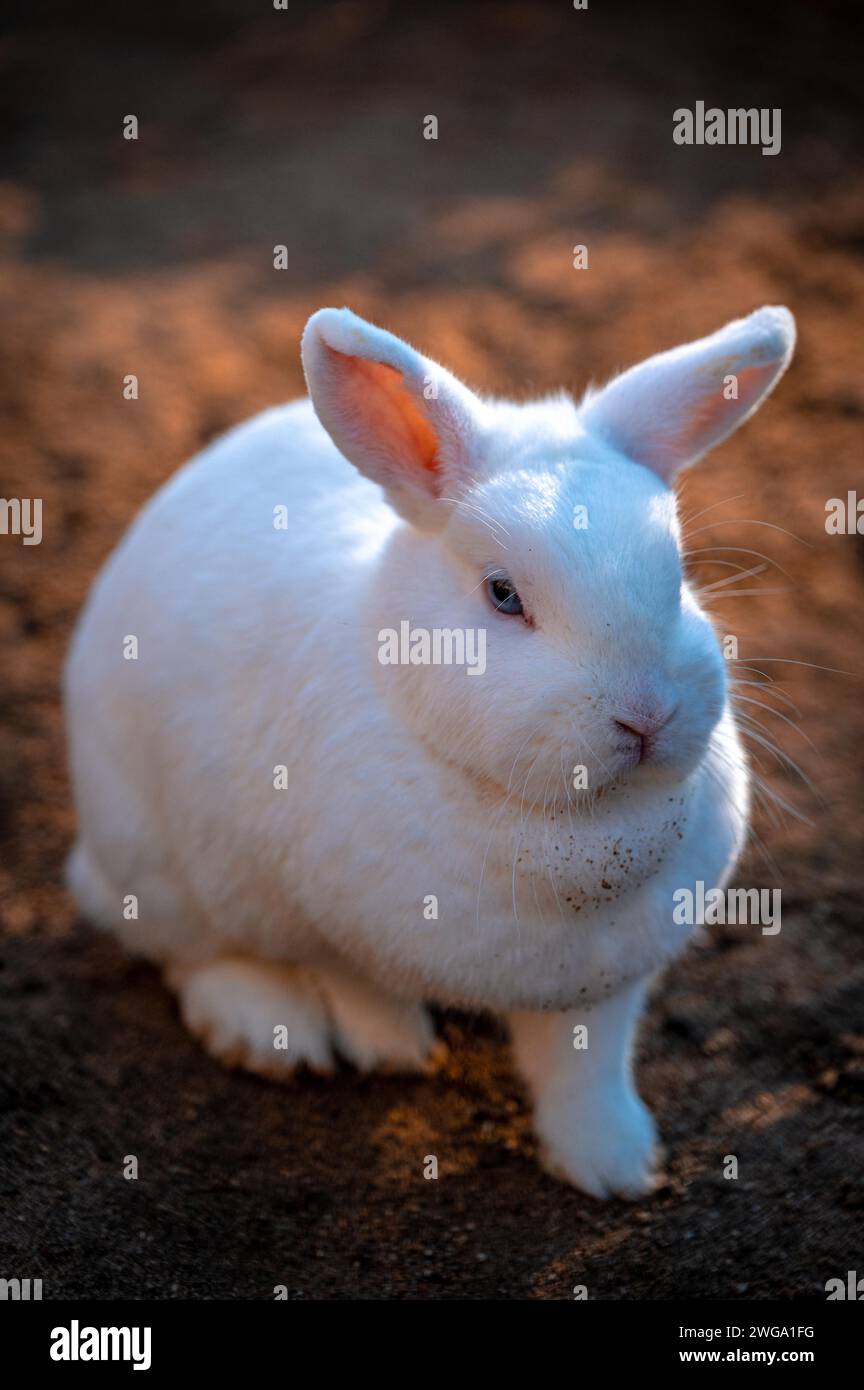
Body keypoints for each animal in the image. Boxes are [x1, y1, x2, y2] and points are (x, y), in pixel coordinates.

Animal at [64, 303, 795, 1198]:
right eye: (503, 595)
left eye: (677, 574)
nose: (646, 715)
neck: (571, 822)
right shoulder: (321, 924)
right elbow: (352, 983)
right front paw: (391, 1048)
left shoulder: (603, 984)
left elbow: (584, 1071)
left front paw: (617, 1167)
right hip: (156, 860)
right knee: (186, 951)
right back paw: (266, 1029)